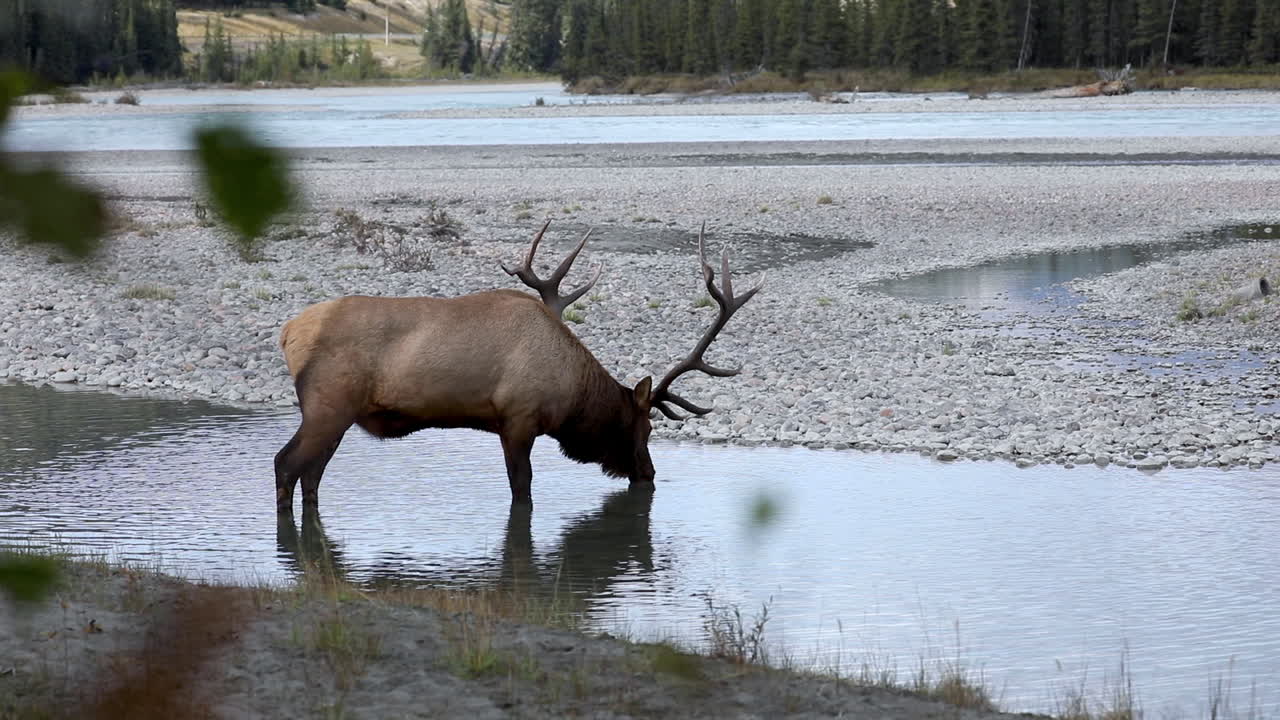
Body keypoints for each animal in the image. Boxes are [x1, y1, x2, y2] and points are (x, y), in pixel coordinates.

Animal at [274, 221, 763, 513]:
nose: (650, 474)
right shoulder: (518, 418)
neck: (571, 396)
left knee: (312, 476)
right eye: (644, 427)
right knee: (286, 465)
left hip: (340, 415)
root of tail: (288, 332)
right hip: (328, 405)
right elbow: (522, 491)